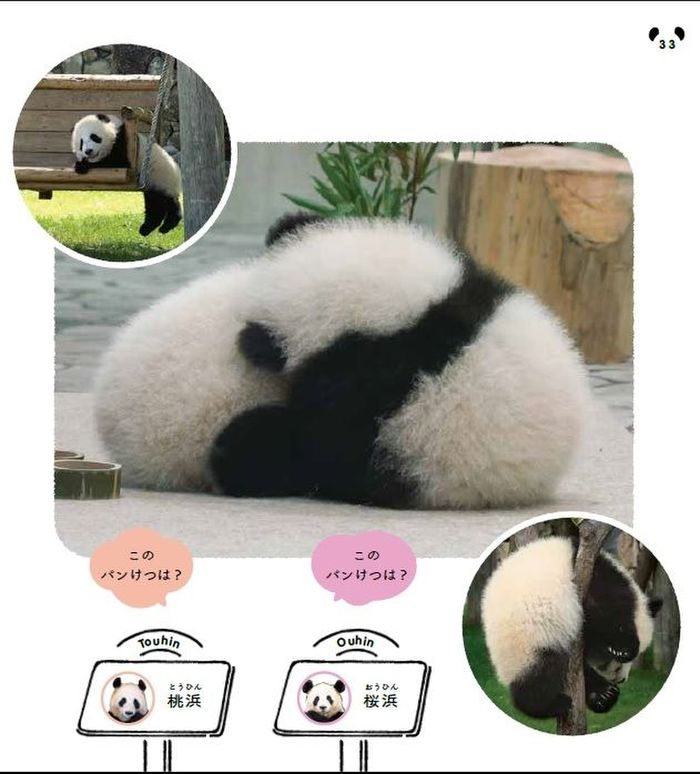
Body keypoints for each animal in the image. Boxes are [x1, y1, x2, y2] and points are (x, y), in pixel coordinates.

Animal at [480, 536, 663, 718]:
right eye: (613, 661)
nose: (621, 679)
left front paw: (602, 697)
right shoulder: (598, 580)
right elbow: (607, 612)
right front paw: (623, 648)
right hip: (529, 639)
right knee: (542, 672)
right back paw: (551, 704)